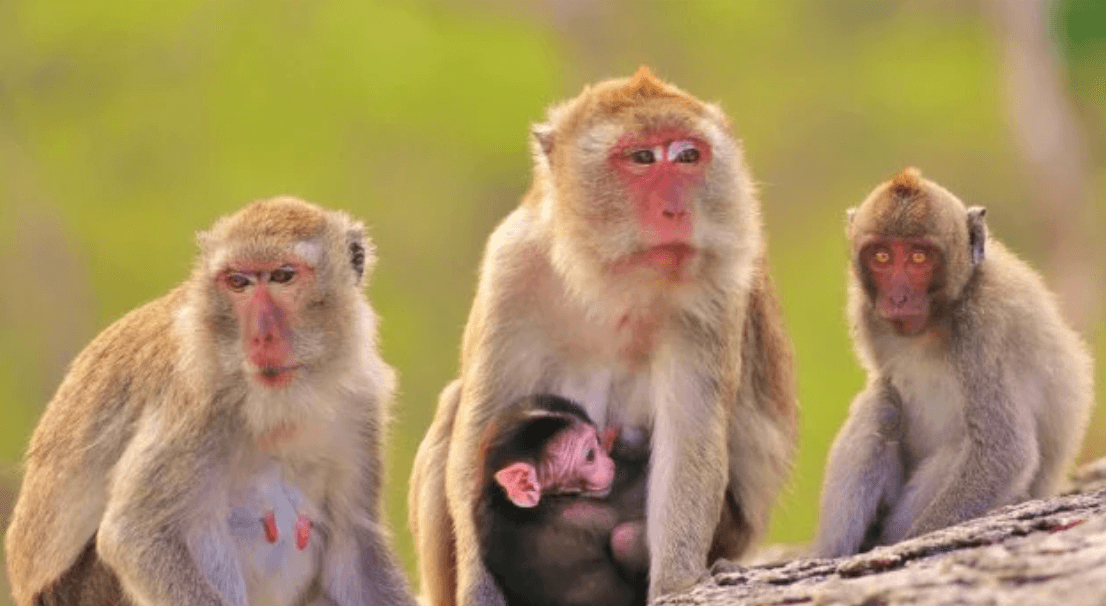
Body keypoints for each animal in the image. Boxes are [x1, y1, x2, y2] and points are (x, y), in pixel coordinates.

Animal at [4, 197, 418, 606]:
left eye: (283, 276)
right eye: (238, 282)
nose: (261, 336)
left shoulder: (360, 402)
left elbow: (354, 550)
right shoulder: (194, 398)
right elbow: (136, 534)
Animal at [814, 167, 1096, 558]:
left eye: (919, 258)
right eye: (882, 257)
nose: (898, 297)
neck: (938, 319)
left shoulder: (984, 324)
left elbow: (1003, 450)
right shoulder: (867, 313)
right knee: (881, 408)